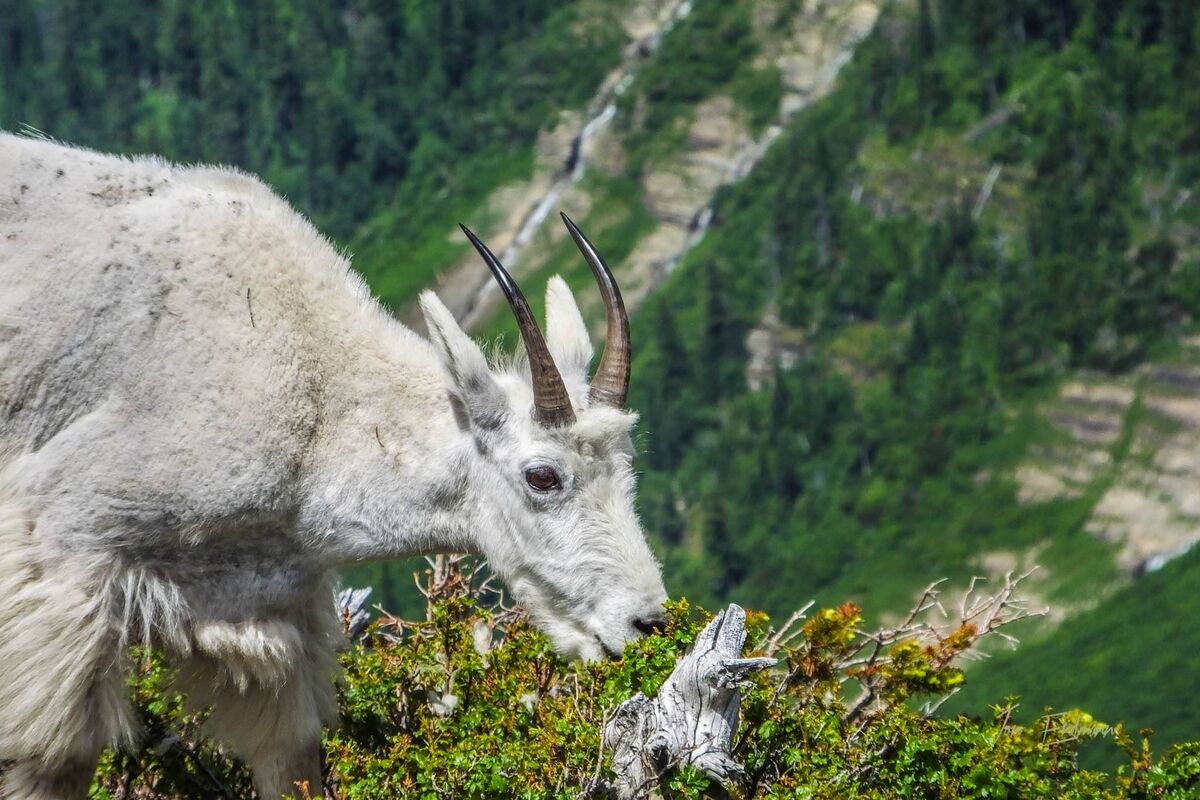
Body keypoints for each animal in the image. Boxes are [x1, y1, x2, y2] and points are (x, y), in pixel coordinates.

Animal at [0, 132, 668, 798]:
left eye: (629, 465)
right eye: (542, 476)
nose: (646, 624)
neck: (319, 402)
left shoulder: (272, 612)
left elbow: (290, 755)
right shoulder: (63, 550)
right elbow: (54, 758)